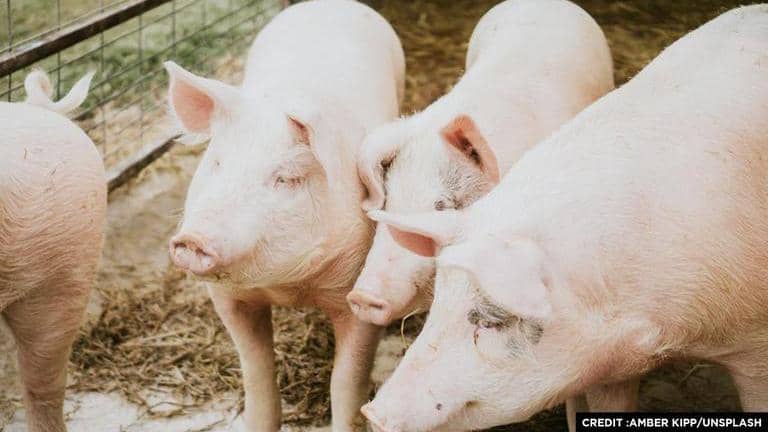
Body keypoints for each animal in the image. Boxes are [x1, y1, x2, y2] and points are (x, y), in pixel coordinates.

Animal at [164, 0, 404, 430]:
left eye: (286, 178)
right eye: (216, 163)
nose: (193, 239)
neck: (289, 288)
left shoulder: (359, 292)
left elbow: (347, 380)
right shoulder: (227, 297)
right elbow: (255, 369)